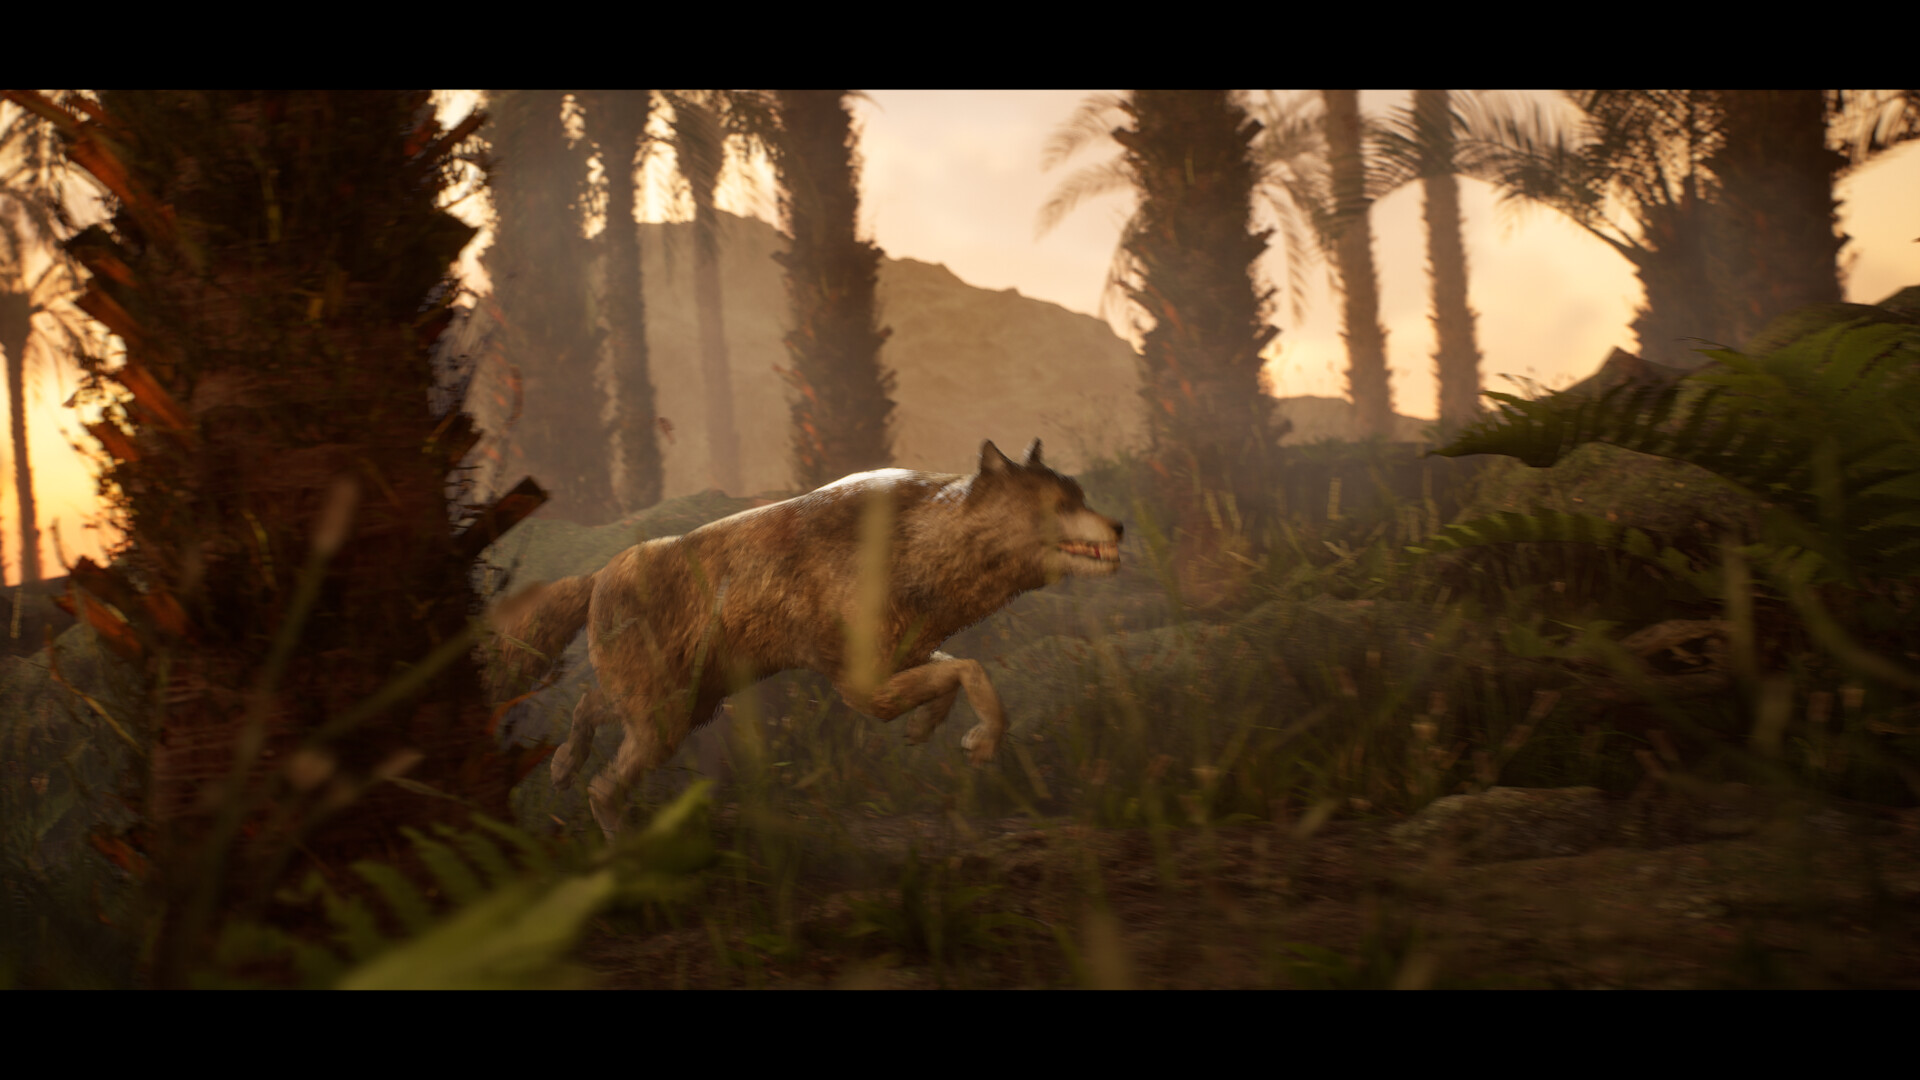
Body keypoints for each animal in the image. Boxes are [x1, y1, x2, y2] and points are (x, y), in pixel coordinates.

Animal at [487, 438, 1123, 838]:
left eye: (1080, 492)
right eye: (1062, 503)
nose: (1120, 525)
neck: (919, 547)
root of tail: (596, 575)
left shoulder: (902, 661)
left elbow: (956, 675)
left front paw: (932, 728)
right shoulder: (862, 690)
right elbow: (972, 671)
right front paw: (982, 743)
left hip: (684, 708)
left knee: (589, 707)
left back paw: (561, 767)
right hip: (663, 724)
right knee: (602, 787)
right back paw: (624, 854)